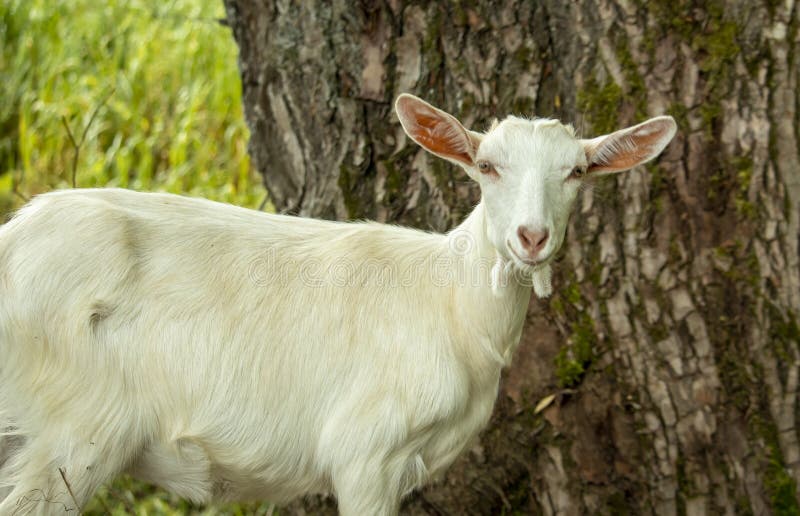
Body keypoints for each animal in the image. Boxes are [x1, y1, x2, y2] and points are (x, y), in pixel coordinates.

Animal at [0, 94, 676, 515]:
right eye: (486, 166)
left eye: (578, 172)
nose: (531, 238)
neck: (451, 306)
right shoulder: (366, 453)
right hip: (75, 428)